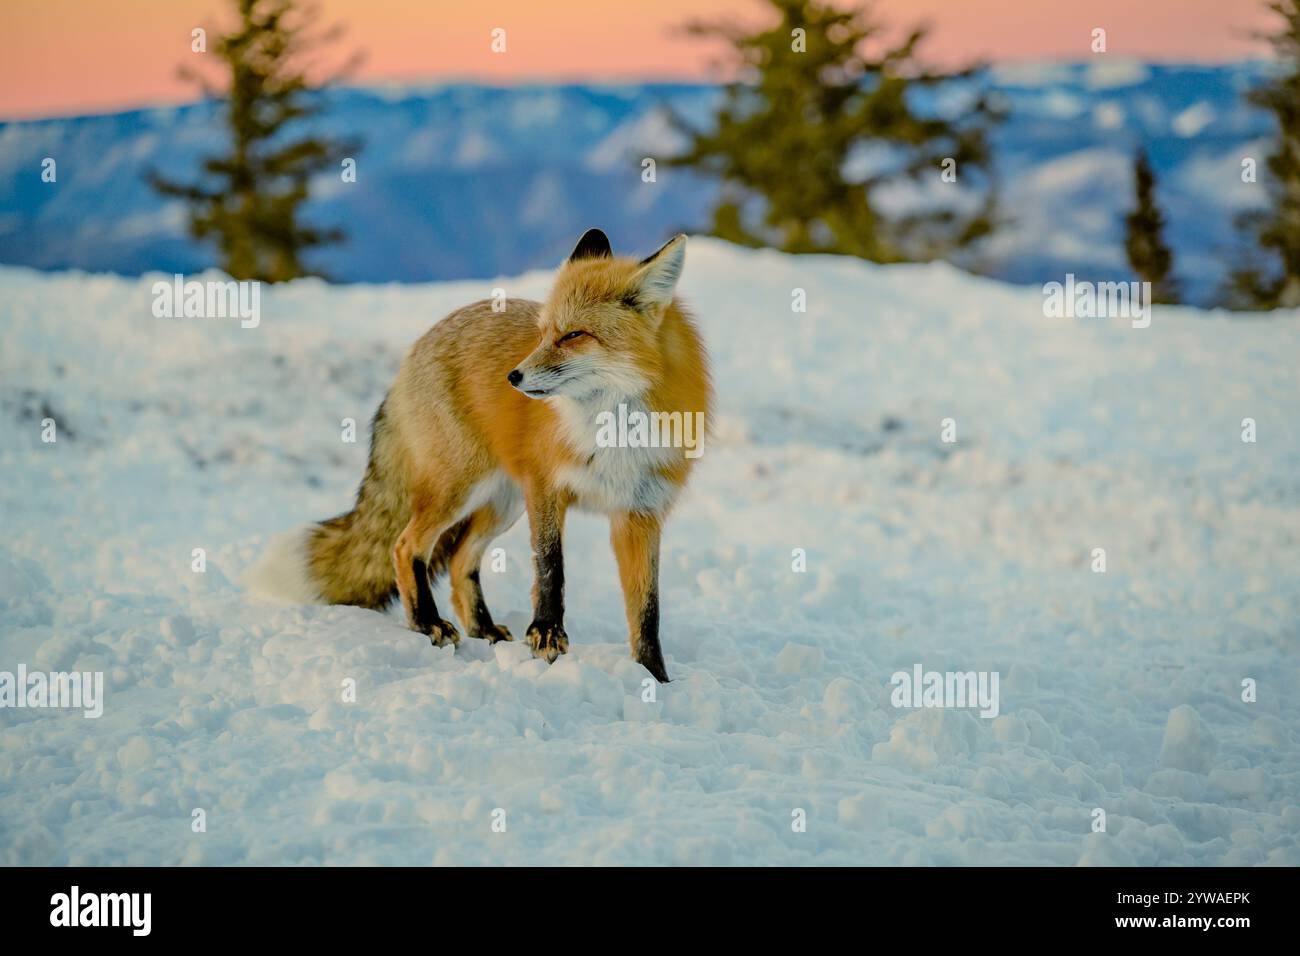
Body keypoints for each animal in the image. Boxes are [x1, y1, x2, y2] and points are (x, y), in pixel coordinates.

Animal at [247, 228, 711, 682]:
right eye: (543, 333)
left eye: (574, 335)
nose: (513, 377)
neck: (613, 428)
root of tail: (419, 346)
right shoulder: (546, 489)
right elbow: (551, 567)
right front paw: (546, 636)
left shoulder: (640, 513)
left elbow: (647, 608)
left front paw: (654, 677)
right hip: (460, 490)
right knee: (405, 546)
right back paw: (427, 624)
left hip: (502, 505)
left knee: (458, 561)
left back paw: (482, 628)